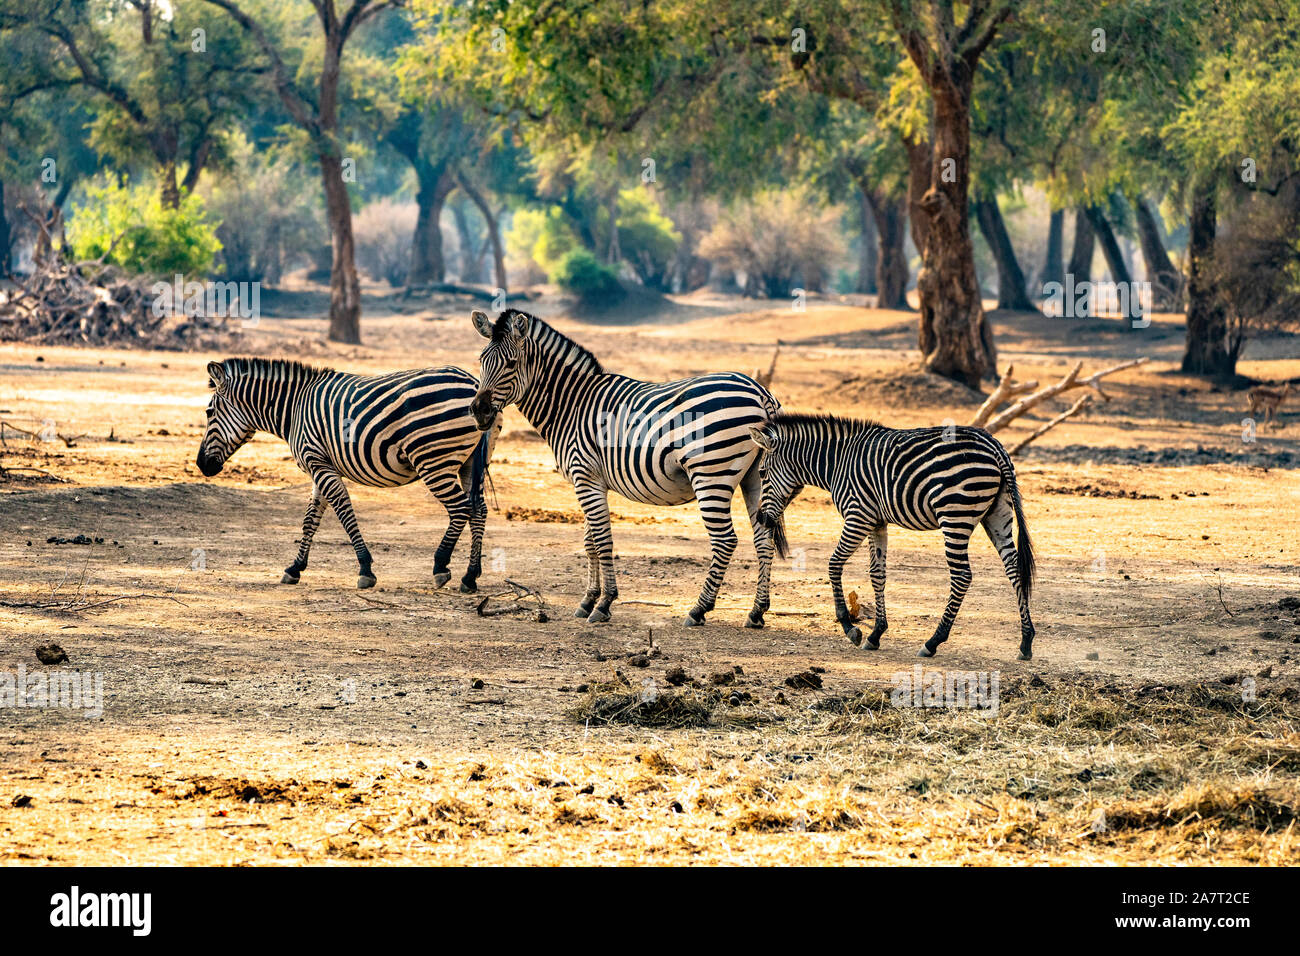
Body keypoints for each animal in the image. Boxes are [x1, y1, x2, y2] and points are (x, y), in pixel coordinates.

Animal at [195, 357, 499, 592]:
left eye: (209, 412)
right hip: (468, 461)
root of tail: (473, 382)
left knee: (460, 508)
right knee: (478, 509)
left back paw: (440, 566)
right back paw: (470, 576)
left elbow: (343, 511)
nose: (201, 465)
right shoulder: (320, 465)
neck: (293, 408)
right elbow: (310, 520)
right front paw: (295, 568)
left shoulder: (318, 463)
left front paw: (365, 569)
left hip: (433, 460)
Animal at [467, 308, 787, 627]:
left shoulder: (584, 475)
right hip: (754, 476)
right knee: (763, 537)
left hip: (711, 474)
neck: (571, 405)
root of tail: (760, 392)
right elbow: (590, 541)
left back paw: (699, 609)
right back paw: (757, 611)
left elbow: (603, 540)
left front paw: (604, 603)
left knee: (725, 540)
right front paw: (588, 600)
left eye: (511, 363)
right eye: (481, 360)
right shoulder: (591, 480)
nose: (478, 411)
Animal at [750, 412, 1036, 660]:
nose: (762, 520)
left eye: (761, 473)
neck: (837, 462)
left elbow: (834, 564)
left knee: (962, 576)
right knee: (1014, 569)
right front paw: (876, 634)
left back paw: (933, 642)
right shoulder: (876, 522)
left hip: (955, 515)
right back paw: (1026, 641)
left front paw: (850, 628)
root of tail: (994, 445)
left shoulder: (858, 516)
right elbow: (877, 574)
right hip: (997, 514)